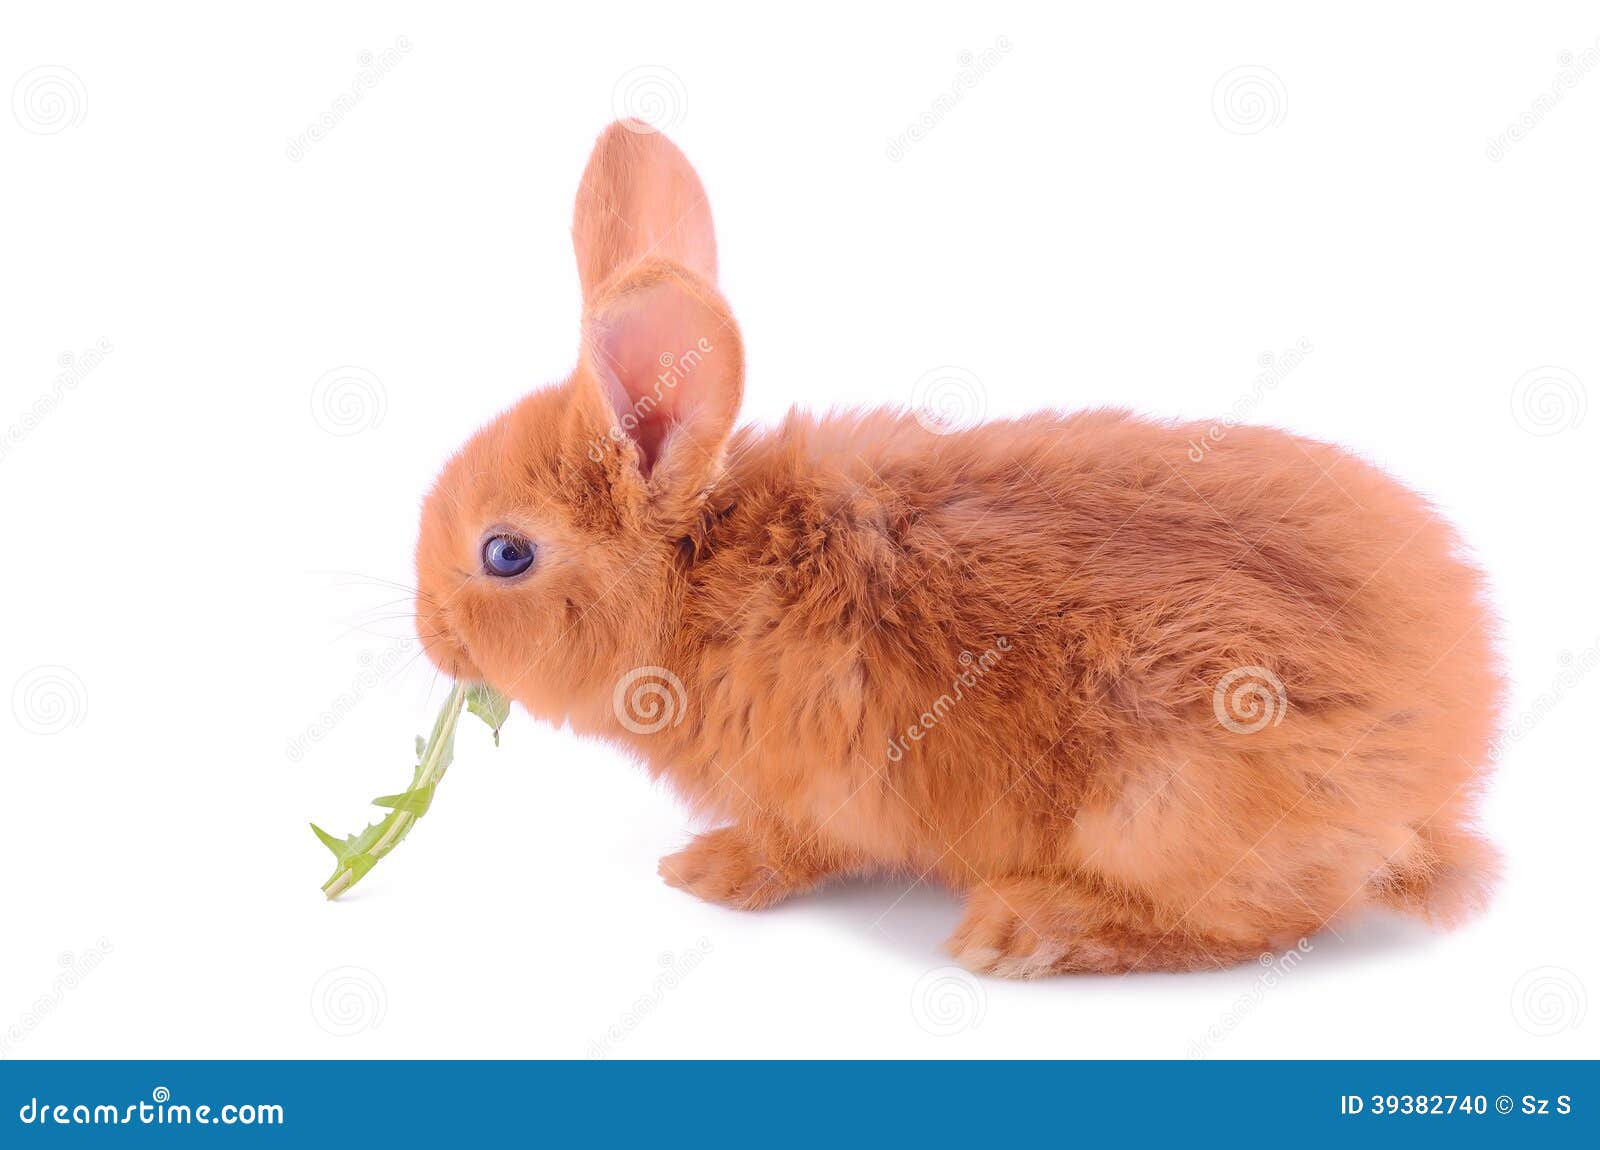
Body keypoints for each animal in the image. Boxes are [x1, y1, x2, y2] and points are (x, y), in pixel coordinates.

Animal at [414, 120, 1504, 976]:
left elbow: (786, 852)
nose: (431, 639)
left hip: (1161, 807)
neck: (704, 580)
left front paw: (703, 873)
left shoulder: (812, 796)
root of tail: (1431, 776)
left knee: (1256, 924)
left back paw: (1024, 930)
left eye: (505, 554)